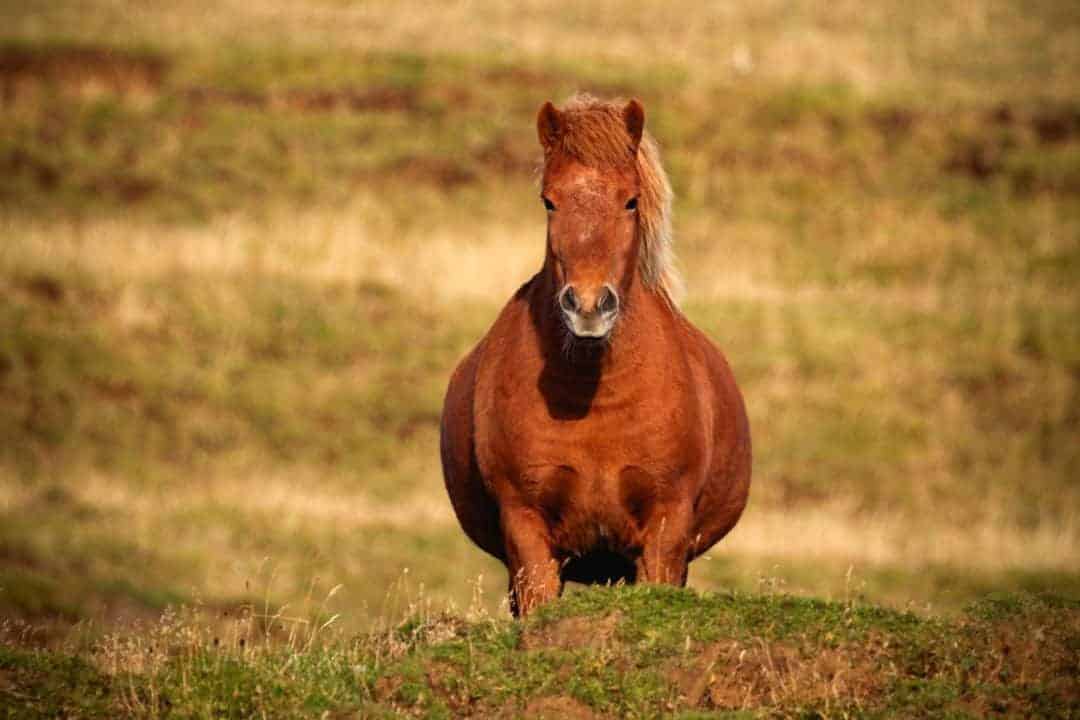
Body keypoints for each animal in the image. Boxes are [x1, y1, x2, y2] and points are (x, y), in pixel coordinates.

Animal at [440, 94, 751, 616]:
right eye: (549, 200)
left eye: (630, 200)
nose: (587, 306)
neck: (595, 405)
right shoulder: (526, 529)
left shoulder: (665, 529)